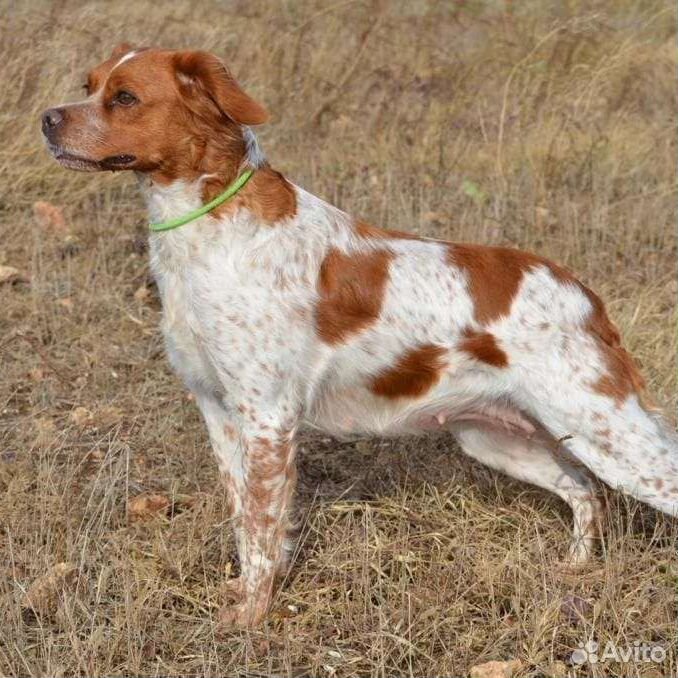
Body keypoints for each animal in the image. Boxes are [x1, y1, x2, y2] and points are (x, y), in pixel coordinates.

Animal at [43, 43, 678, 628]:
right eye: (88, 86)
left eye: (125, 97)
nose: (47, 118)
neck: (212, 226)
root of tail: (583, 292)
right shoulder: (220, 411)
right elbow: (246, 522)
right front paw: (244, 597)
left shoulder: (268, 417)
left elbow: (264, 527)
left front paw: (249, 619)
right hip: (498, 436)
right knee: (584, 490)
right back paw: (575, 568)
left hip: (605, 430)